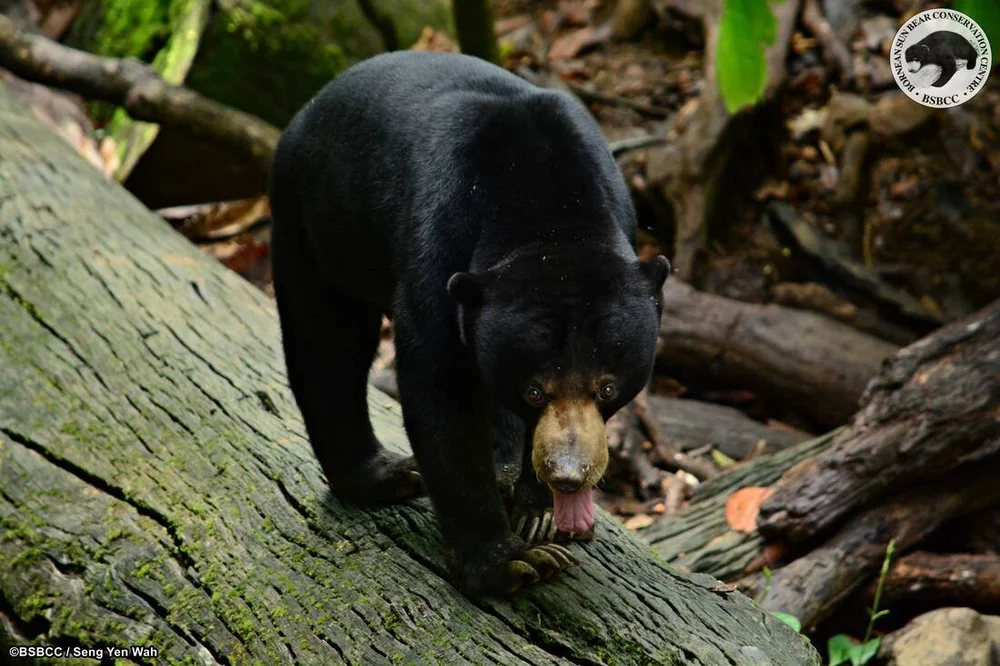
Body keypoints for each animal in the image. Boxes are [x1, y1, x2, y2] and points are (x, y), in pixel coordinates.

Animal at [268, 51, 669, 597]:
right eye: (534, 390)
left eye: (608, 388)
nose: (569, 476)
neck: (550, 215)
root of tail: (310, 106)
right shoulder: (440, 235)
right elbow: (441, 390)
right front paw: (513, 562)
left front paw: (539, 513)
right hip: (314, 221)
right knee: (327, 347)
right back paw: (384, 475)